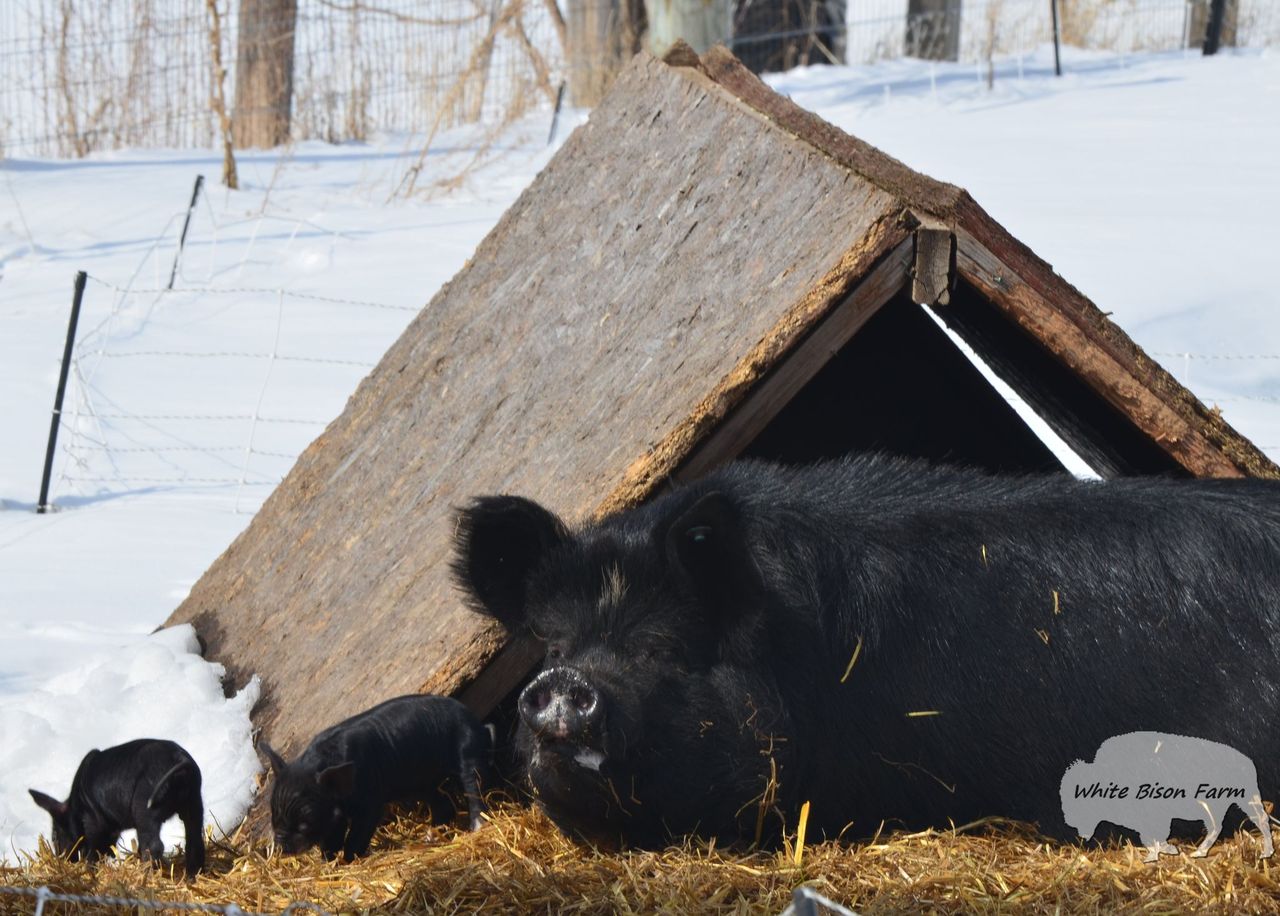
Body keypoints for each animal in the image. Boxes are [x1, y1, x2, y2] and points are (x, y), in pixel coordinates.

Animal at [29, 739, 205, 877]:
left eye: (54, 836)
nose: (63, 861)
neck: (76, 805)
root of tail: (180, 760)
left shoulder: (94, 821)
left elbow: (93, 851)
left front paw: (90, 873)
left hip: (145, 808)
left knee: (154, 846)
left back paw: (144, 876)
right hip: (194, 803)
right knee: (194, 840)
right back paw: (192, 878)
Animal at [262, 694, 492, 860]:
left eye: (306, 818)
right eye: (274, 810)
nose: (281, 842)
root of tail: (478, 723)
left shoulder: (370, 802)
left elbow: (356, 836)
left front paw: (348, 859)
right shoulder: (336, 816)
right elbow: (332, 839)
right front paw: (328, 861)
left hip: (468, 751)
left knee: (473, 790)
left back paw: (477, 827)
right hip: (422, 782)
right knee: (444, 806)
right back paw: (429, 837)